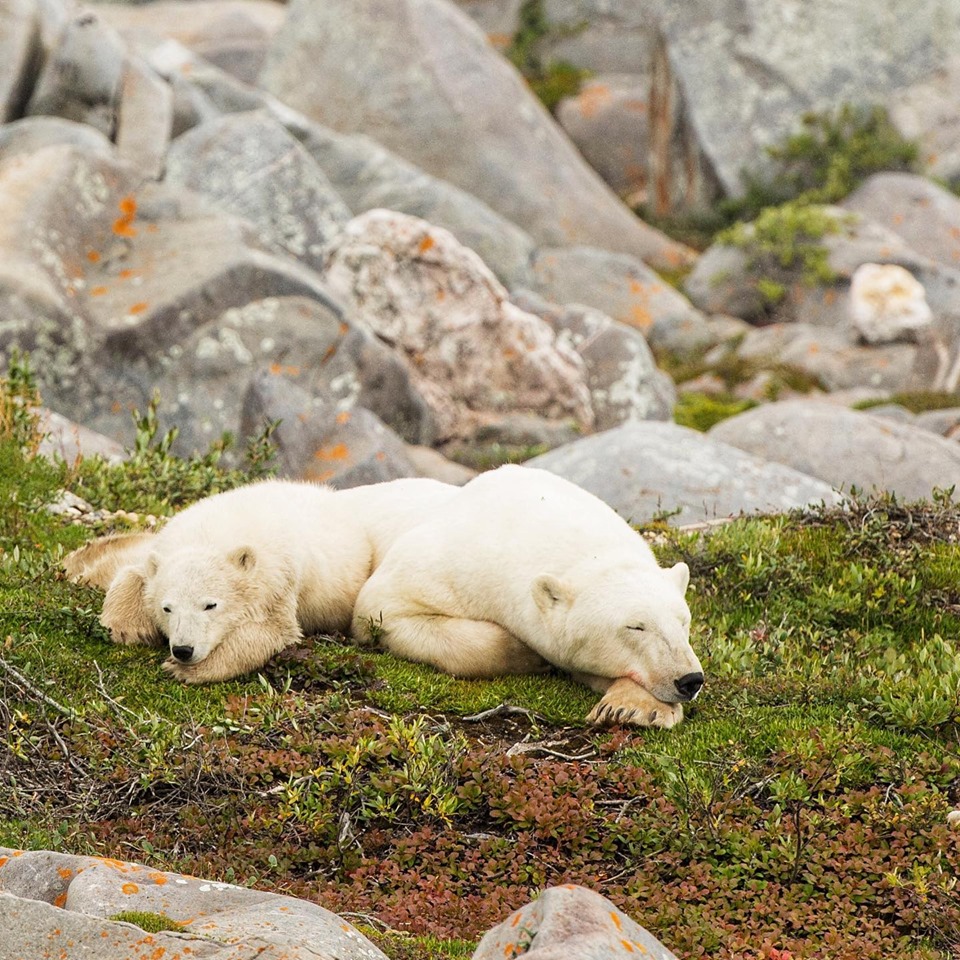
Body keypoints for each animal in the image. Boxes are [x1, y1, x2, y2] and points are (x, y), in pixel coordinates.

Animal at [65, 478, 456, 684]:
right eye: (167, 608)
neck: (215, 534)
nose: (184, 650)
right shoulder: (166, 548)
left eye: (211, 605)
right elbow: (135, 573)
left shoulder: (276, 578)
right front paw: (125, 626)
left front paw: (187, 670)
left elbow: (269, 631)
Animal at [352, 464, 704, 728]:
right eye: (635, 626)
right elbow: (381, 607)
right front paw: (529, 655)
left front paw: (635, 707)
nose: (690, 679)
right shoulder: (449, 562)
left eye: (682, 621)